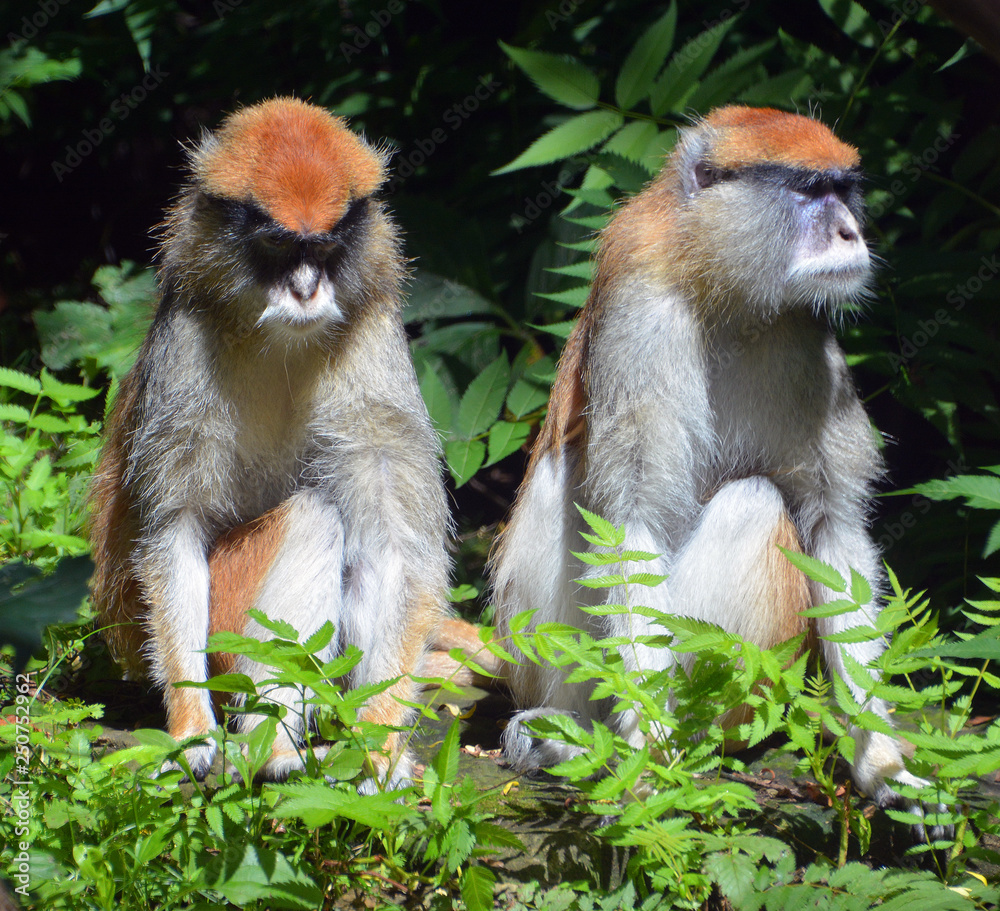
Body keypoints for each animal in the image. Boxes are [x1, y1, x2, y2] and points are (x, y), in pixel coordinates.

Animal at [89, 97, 479, 786]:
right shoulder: (186, 340)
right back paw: (272, 752)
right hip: (226, 624)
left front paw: (380, 749)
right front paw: (191, 729)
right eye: (275, 243)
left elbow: (397, 545)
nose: (304, 289)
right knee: (313, 519)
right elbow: (173, 531)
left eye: (324, 247)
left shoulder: (372, 337)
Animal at [491, 105, 941, 833]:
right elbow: (634, 521)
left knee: (753, 502)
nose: (851, 232)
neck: (718, 282)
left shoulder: (805, 338)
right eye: (811, 190)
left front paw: (884, 767)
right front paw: (648, 772)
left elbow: (833, 526)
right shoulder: (641, 308)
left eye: (845, 190)